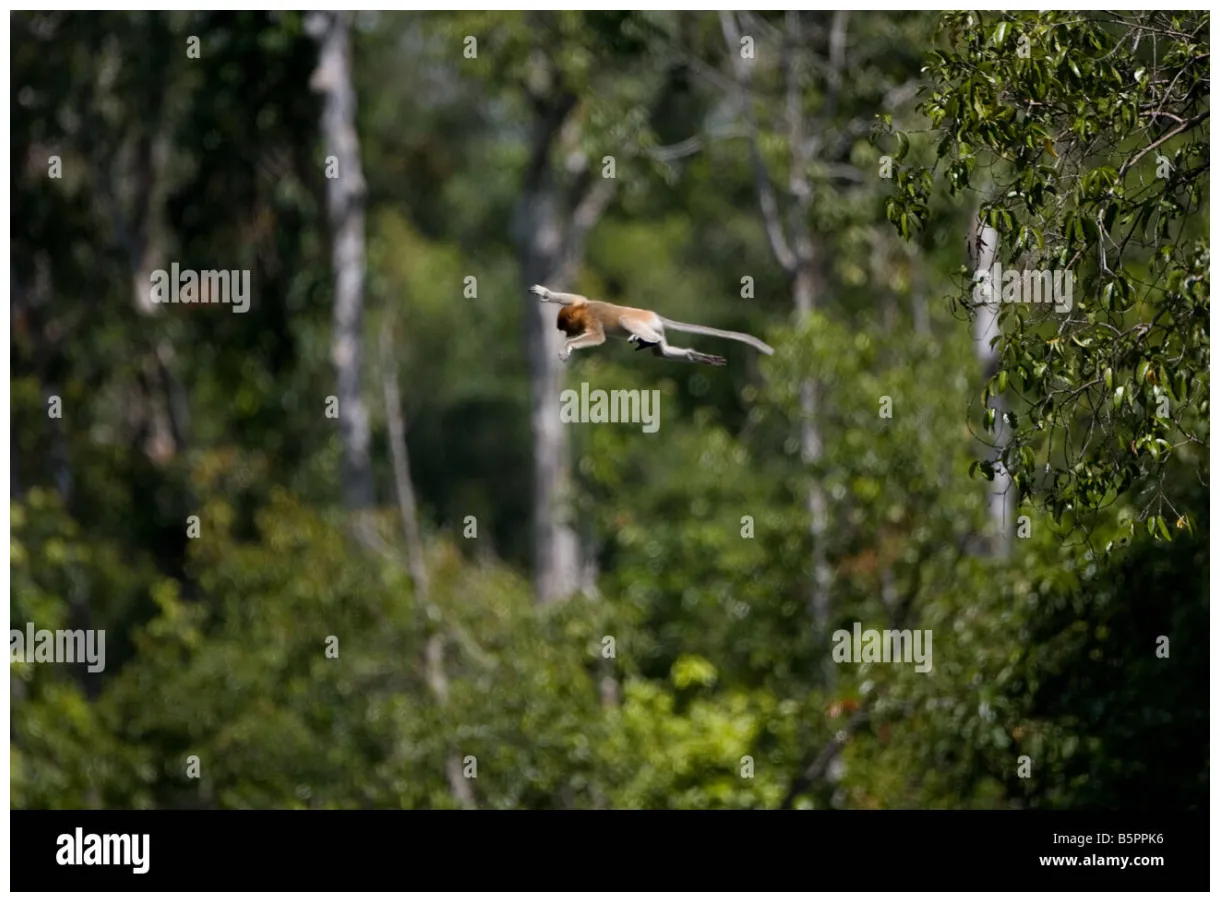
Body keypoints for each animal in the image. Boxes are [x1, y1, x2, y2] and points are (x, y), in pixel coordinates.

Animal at [529, 285, 774, 366]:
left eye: (567, 330)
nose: (568, 335)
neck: (582, 313)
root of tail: (655, 316)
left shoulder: (589, 316)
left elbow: (598, 337)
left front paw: (566, 348)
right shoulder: (579, 303)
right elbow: (577, 296)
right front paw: (545, 293)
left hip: (640, 321)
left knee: (627, 321)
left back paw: (643, 339)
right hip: (656, 327)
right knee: (661, 352)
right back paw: (692, 356)